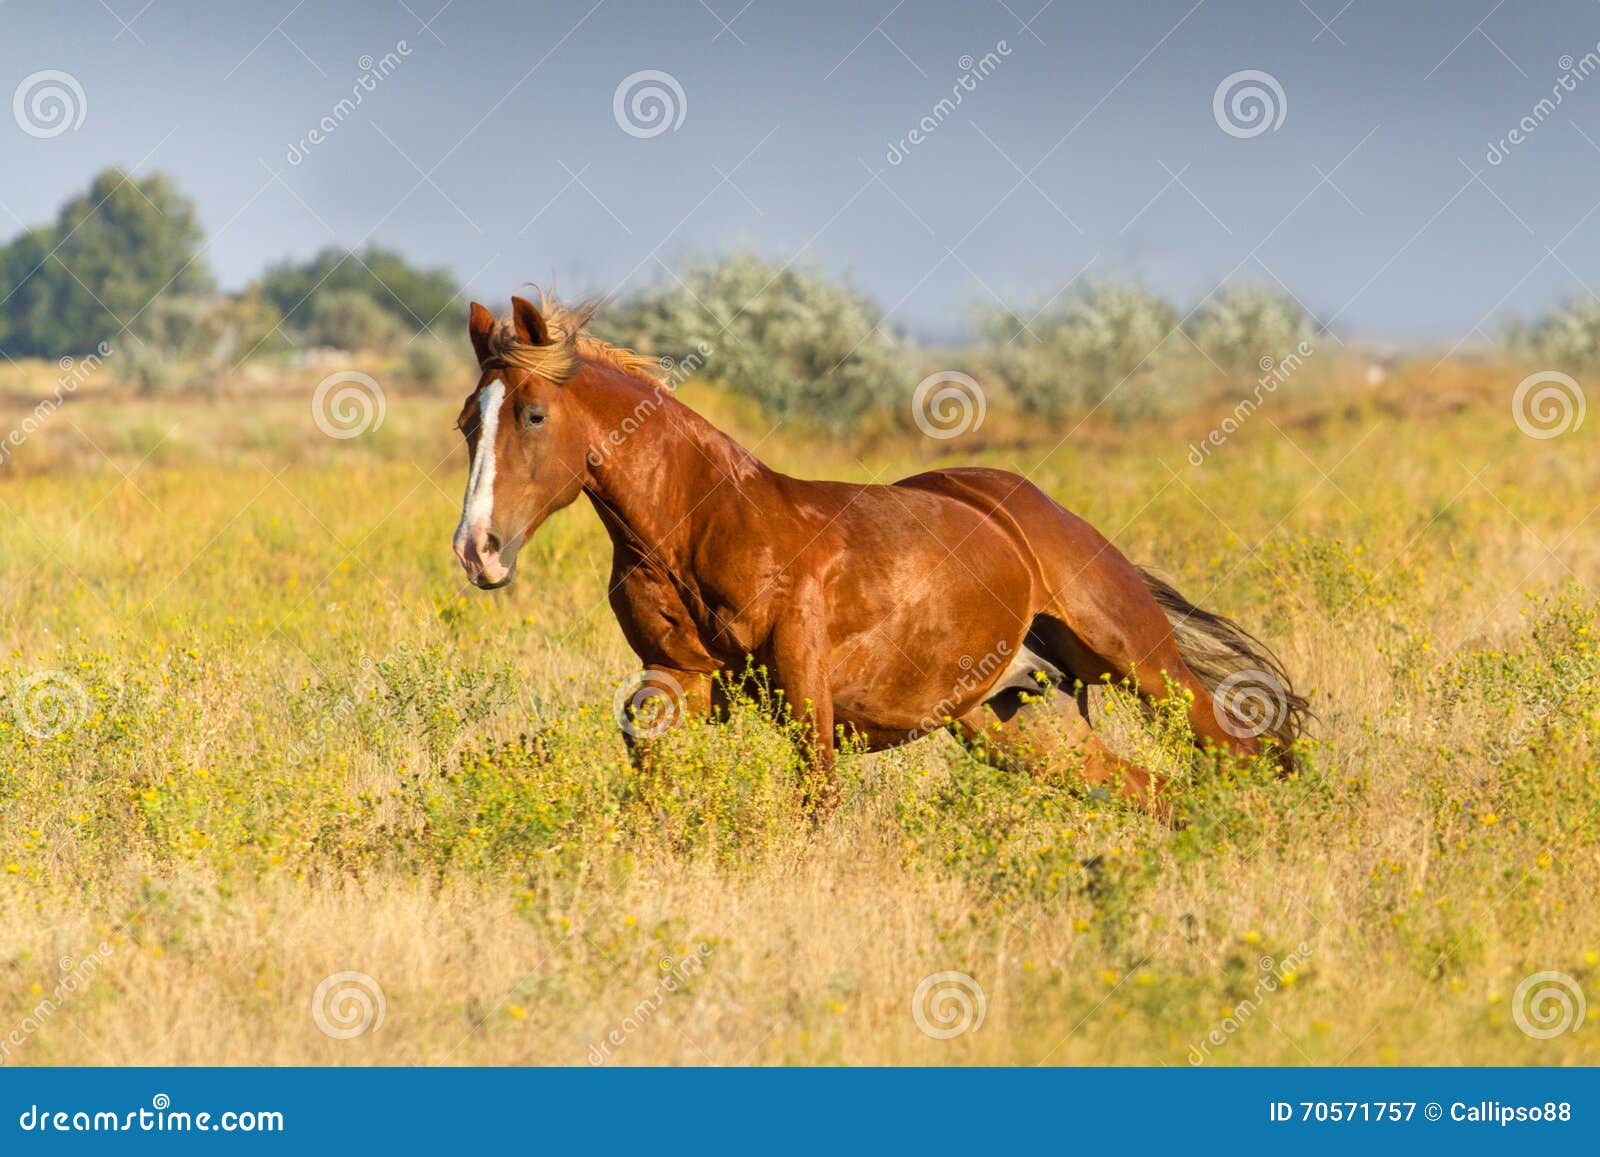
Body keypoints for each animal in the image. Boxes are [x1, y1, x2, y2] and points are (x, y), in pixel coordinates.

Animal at [451, 294, 1307, 816]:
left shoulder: (806, 690)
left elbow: (817, 800)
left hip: (1141, 665)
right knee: (1153, 791)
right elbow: (643, 732)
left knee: (1235, 752)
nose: (477, 550)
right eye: (468, 421)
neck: (702, 527)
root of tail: (1036, 511)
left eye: (532, 414)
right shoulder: (681, 676)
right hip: (1018, 720)